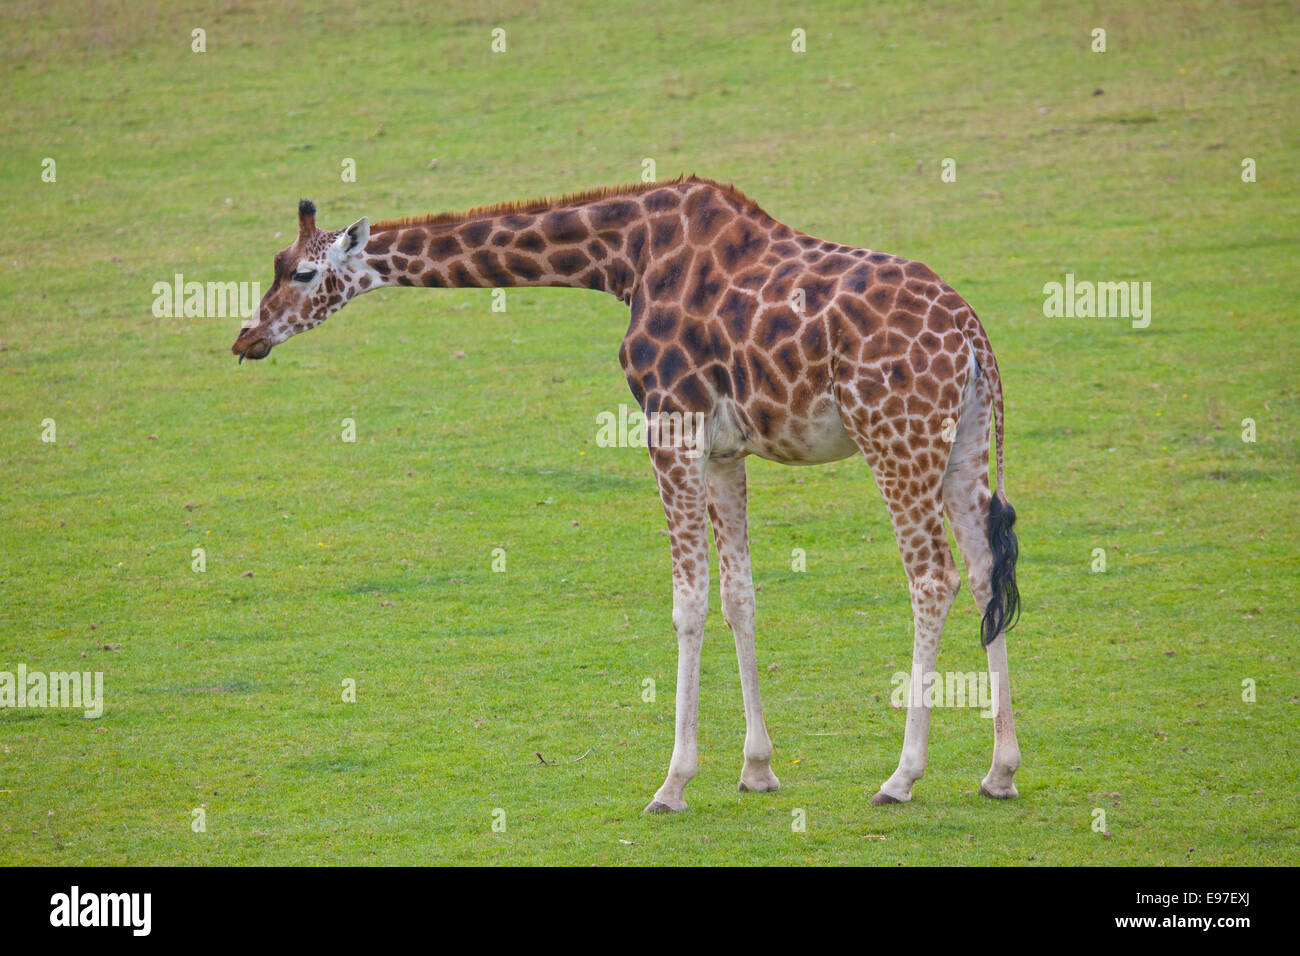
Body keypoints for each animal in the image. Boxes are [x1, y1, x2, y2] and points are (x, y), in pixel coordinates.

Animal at [231, 176, 1022, 810]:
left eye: (302, 272)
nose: (246, 338)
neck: (623, 258)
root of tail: (972, 334)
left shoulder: (667, 422)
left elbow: (687, 602)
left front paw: (672, 784)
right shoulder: (723, 448)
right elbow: (739, 596)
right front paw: (757, 769)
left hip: (894, 437)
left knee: (933, 576)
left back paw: (901, 777)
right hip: (964, 444)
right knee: (986, 571)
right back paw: (1001, 771)